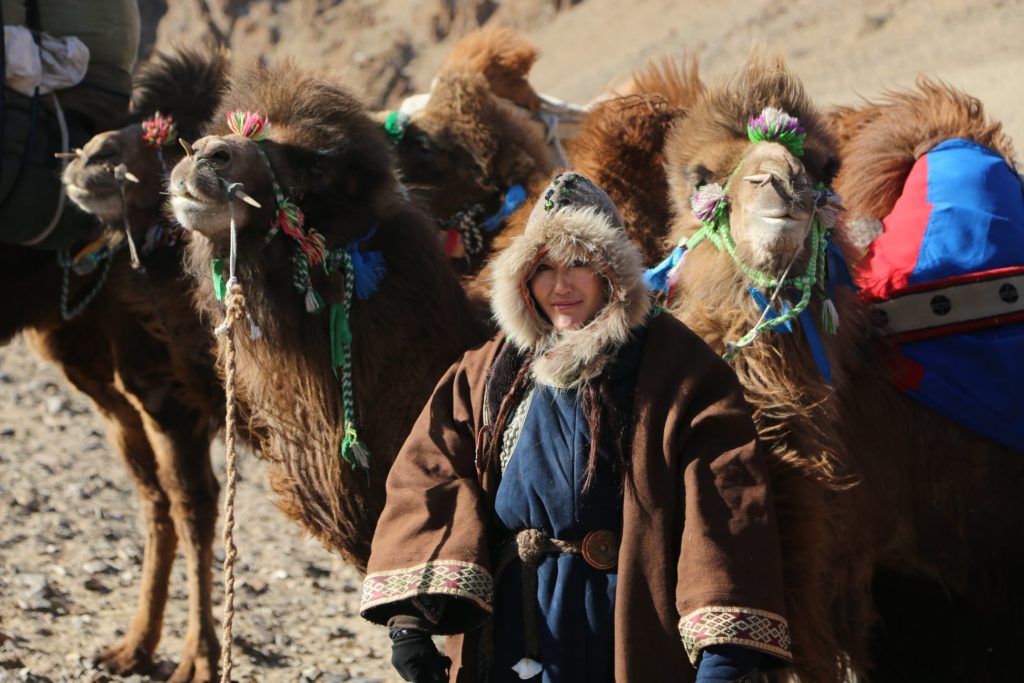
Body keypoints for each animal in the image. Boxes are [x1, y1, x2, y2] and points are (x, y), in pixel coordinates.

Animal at [37, 48, 230, 682]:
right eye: (139, 113)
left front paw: (199, 660)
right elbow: (189, 503)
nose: (90, 158)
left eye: (181, 141)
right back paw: (131, 647)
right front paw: (183, 653)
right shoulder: (168, 396)